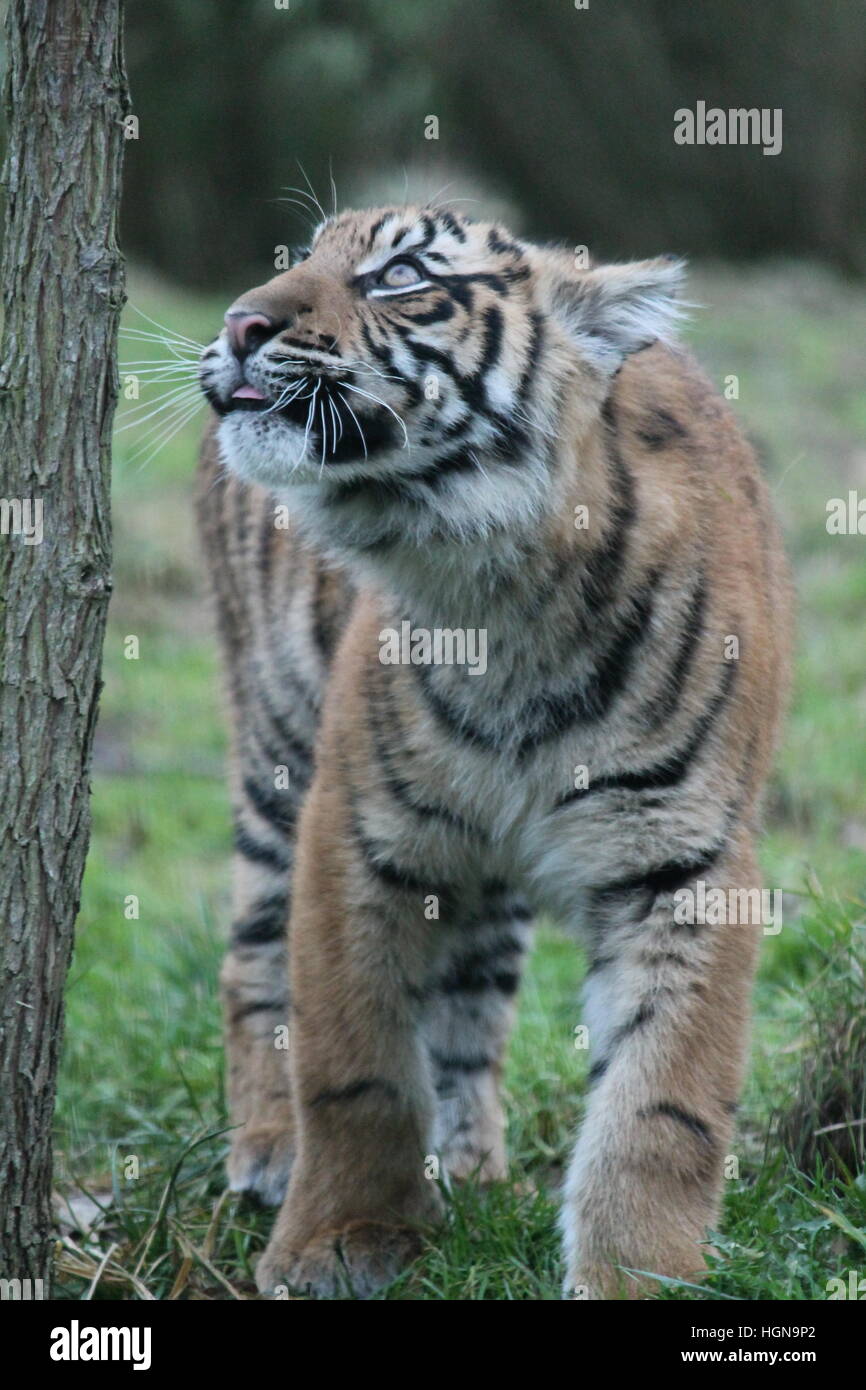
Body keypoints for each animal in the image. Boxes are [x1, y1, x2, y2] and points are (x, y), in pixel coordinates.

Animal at [194, 202, 792, 1299]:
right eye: (306, 252)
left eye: (400, 275)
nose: (240, 321)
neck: (497, 588)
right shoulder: (353, 824)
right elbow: (352, 1064)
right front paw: (336, 1240)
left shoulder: (685, 857)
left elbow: (663, 1102)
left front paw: (639, 1272)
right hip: (275, 736)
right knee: (252, 954)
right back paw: (266, 1144)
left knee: (469, 1008)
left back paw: (470, 1163)